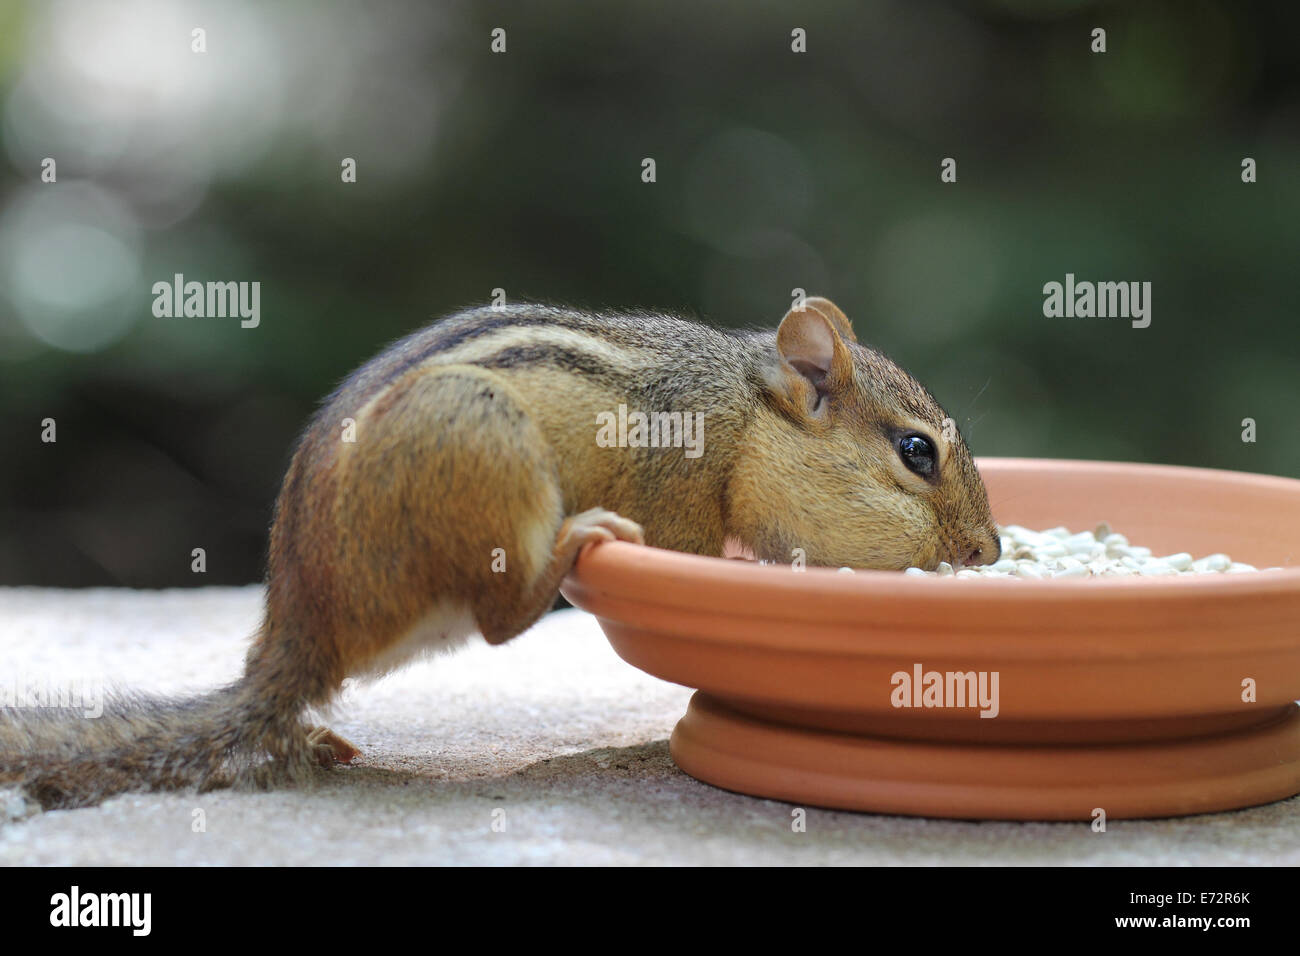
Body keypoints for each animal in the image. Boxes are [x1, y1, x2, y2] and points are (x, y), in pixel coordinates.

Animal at [0, 296, 999, 810]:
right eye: (917, 452)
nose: (989, 551)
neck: (744, 418)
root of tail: (301, 629)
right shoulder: (680, 491)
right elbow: (694, 546)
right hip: (477, 432)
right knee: (500, 618)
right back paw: (579, 541)